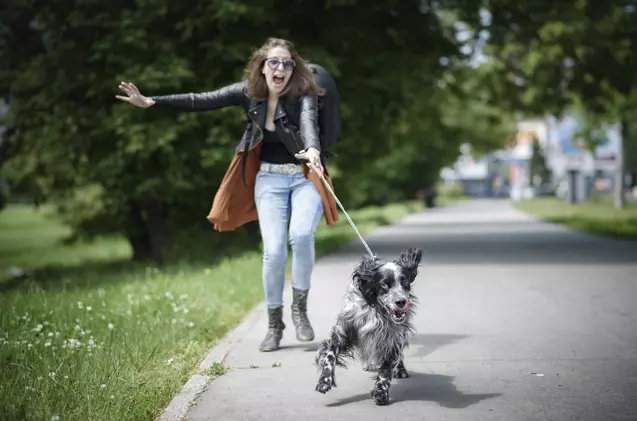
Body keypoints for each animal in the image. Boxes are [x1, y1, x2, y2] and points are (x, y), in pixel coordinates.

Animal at [314, 246, 422, 404]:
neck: (376, 310)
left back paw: (400, 369)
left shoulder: (391, 339)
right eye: (384, 284)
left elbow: (386, 369)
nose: (401, 301)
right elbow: (329, 356)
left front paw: (381, 392)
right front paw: (325, 380)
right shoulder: (342, 332)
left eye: (405, 281)